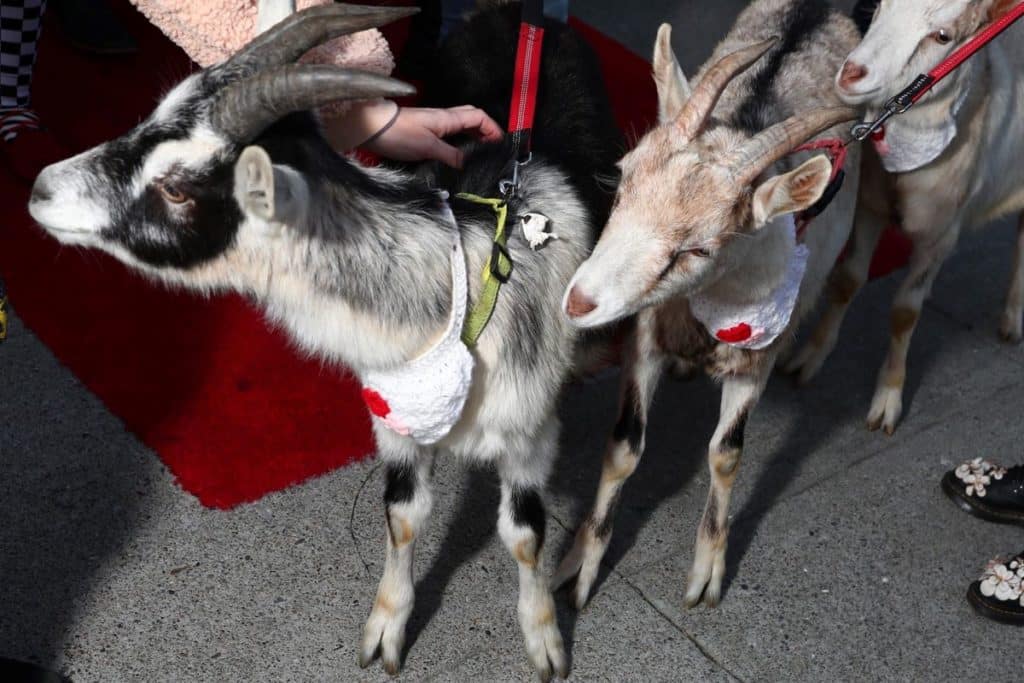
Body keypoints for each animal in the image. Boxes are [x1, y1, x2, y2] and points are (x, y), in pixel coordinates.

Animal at [27, 4, 622, 679]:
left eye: (177, 188)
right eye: (149, 118)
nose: (42, 187)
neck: (465, 284)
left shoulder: (527, 432)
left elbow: (523, 533)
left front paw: (544, 638)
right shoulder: (395, 422)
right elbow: (403, 515)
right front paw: (386, 629)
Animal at [552, 0, 862, 610]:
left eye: (697, 248)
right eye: (622, 180)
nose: (580, 301)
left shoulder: (756, 360)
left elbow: (726, 453)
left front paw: (706, 575)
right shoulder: (645, 337)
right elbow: (624, 445)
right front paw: (579, 567)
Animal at [786, 0, 1024, 434]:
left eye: (944, 36)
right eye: (882, 5)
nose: (852, 72)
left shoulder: (940, 234)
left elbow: (904, 312)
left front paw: (887, 398)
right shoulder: (870, 206)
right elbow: (847, 280)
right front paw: (810, 357)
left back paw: (1012, 317)